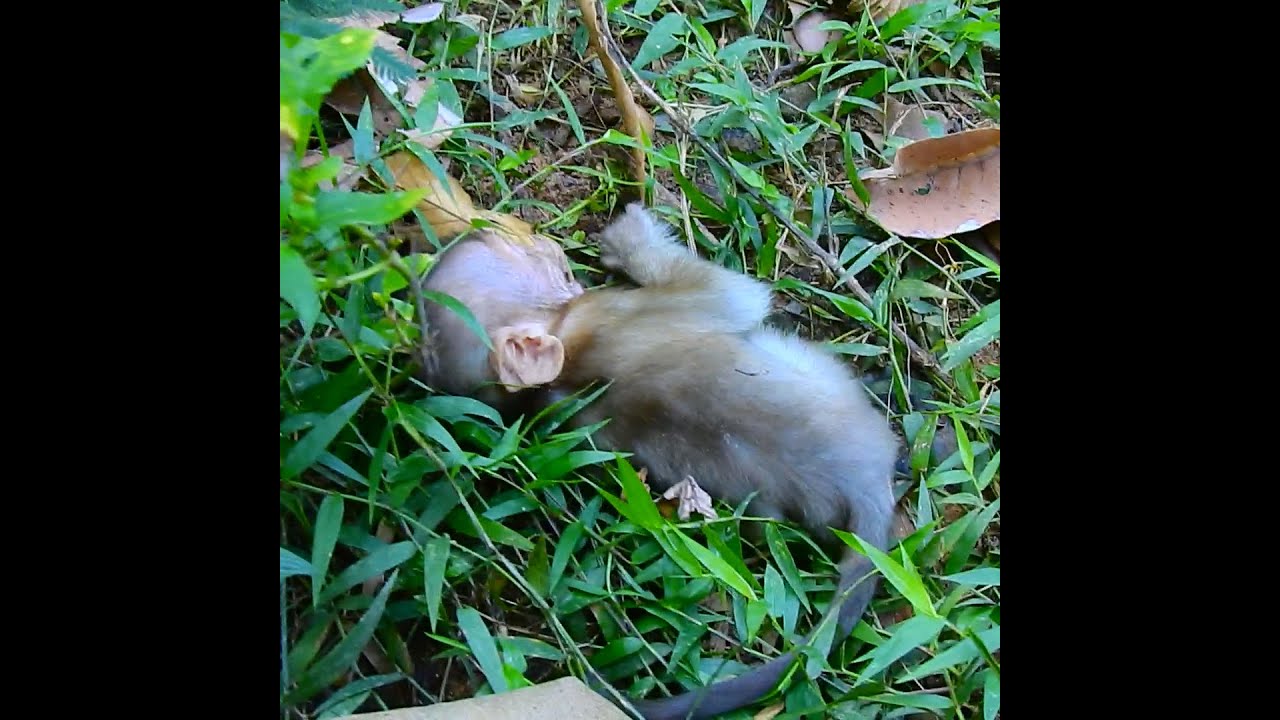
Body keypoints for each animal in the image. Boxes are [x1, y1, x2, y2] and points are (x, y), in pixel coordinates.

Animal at [419, 204, 900, 720]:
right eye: (555, 270)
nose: (526, 234)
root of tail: (866, 486)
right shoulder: (619, 308)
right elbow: (737, 295)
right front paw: (630, 238)